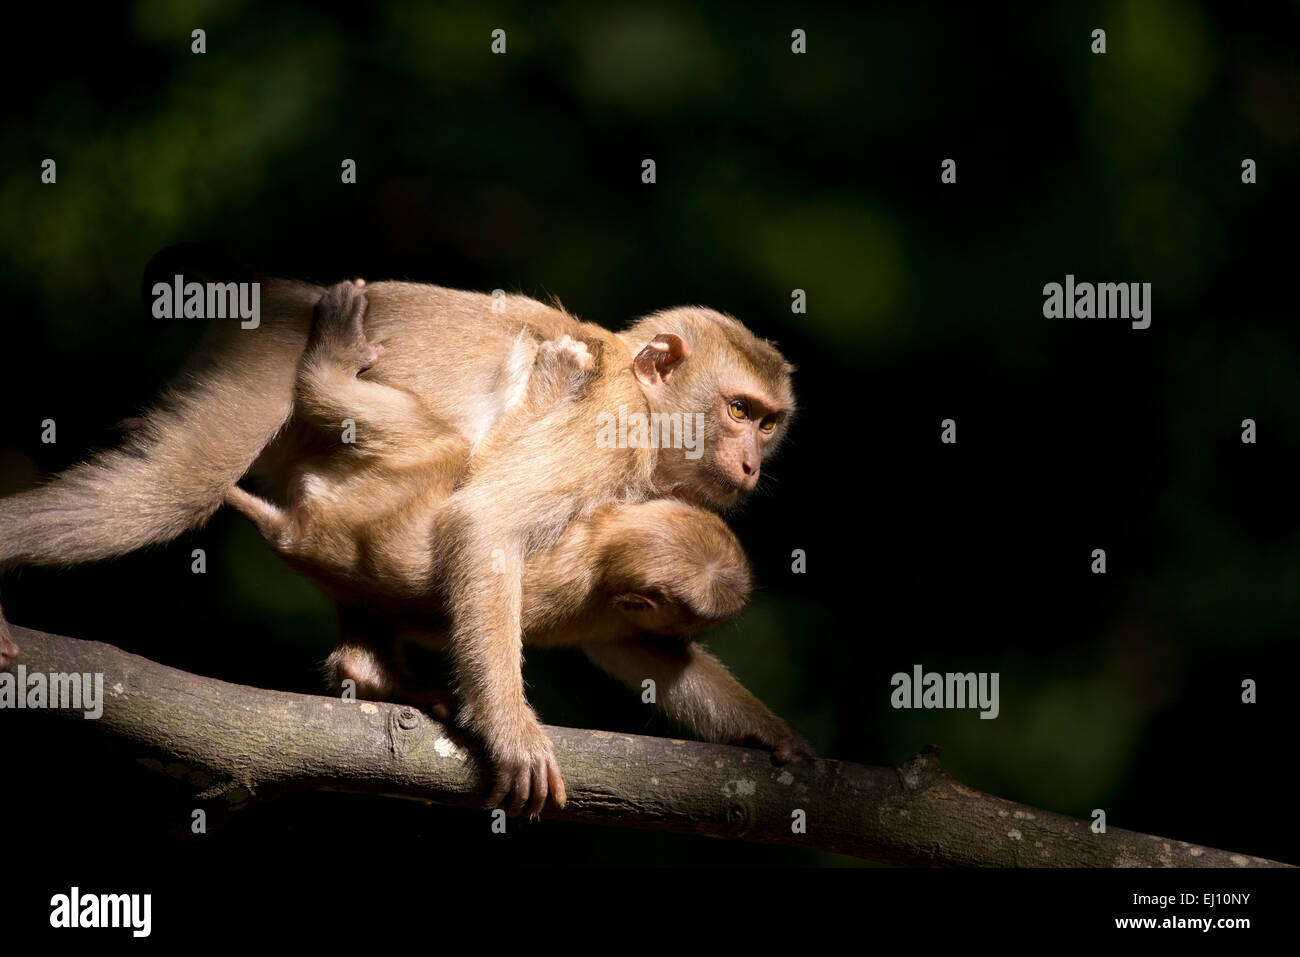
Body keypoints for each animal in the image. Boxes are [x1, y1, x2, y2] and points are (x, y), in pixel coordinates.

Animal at [0, 265, 808, 816]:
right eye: (738, 410)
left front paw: (775, 738)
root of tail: (283, 297)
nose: (750, 462)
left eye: (768, 422)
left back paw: (368, 671)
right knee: (172, 491)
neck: (641, 395)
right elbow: (485, 522)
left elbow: (632, 643)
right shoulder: (609, 427)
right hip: (263, 358)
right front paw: (512, 733)